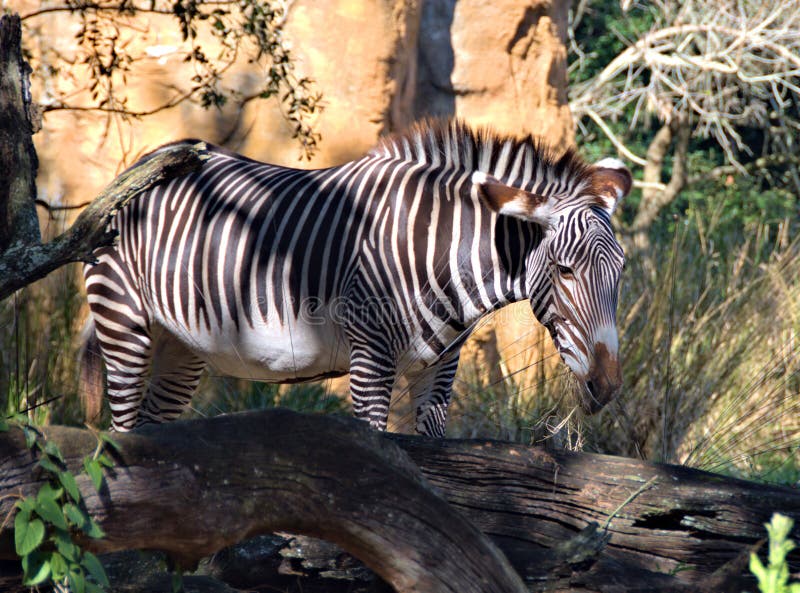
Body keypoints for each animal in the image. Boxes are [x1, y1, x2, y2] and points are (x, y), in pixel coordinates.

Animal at [80, 119, 631, 436]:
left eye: (621, 273)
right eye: (564, 271)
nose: (606, 386)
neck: (439, 252)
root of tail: (147, 162)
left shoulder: (442, 365)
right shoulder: (371, 358)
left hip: (180, 344)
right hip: (123, 320)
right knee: (123, 433)